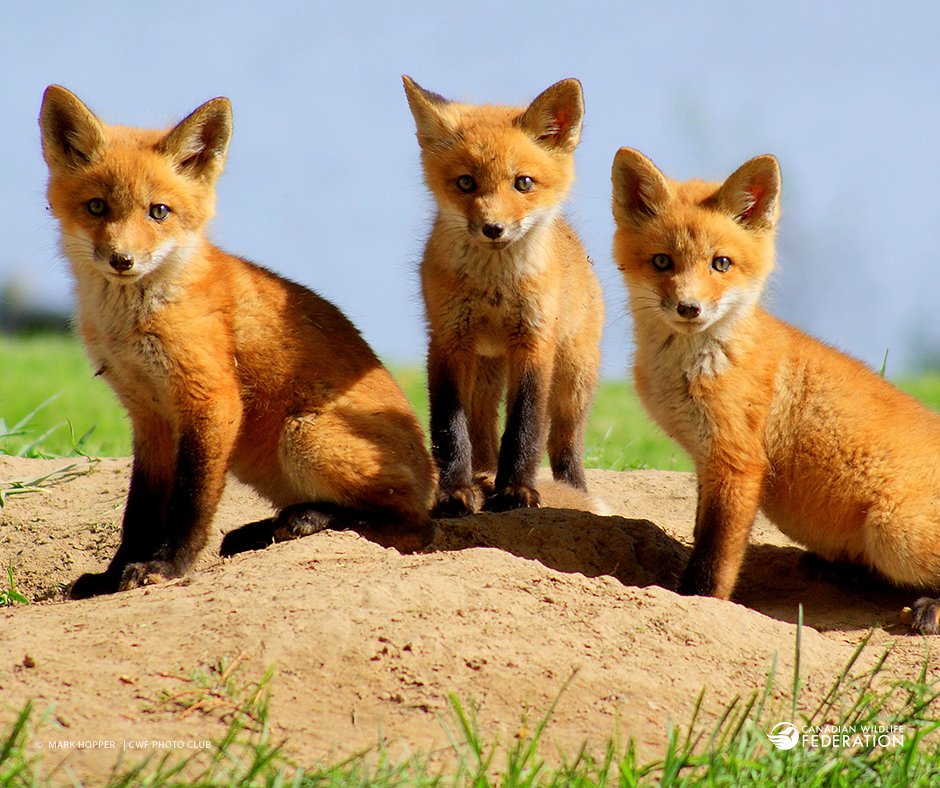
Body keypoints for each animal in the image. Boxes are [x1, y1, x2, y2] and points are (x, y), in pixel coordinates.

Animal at [39, 85, 436, 598]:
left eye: (158, 212)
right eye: (96, 207)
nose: (122, 260)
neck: (133, 324)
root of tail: (434, 479)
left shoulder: (212, 400)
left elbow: (191, 502)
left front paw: (168, 566)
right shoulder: (149, 416)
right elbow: (139, 512)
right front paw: (113, 576)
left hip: (302, 435)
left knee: (413, 527)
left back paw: (313, 519)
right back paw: (267, 530)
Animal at [403, 76, 604, 517]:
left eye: (522, 183)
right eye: (465, 182)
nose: (493, 228)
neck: (494, 289)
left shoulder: (533, 343)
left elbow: (524, 426)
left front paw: (516, 492)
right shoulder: (448, 342)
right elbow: (449, 429)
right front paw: (454, 492)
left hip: (574, 378)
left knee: (565, 445)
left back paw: (573, 491)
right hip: (484, 374)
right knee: (482, 436)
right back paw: (482, 477)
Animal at [610, 146, 940, 634]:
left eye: (721, 263)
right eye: (662, 262)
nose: (689, 308)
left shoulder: (737, 462)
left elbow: (714, 562)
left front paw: (697, 604)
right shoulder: (709, 462)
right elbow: (702, 537)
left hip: (896, 532)